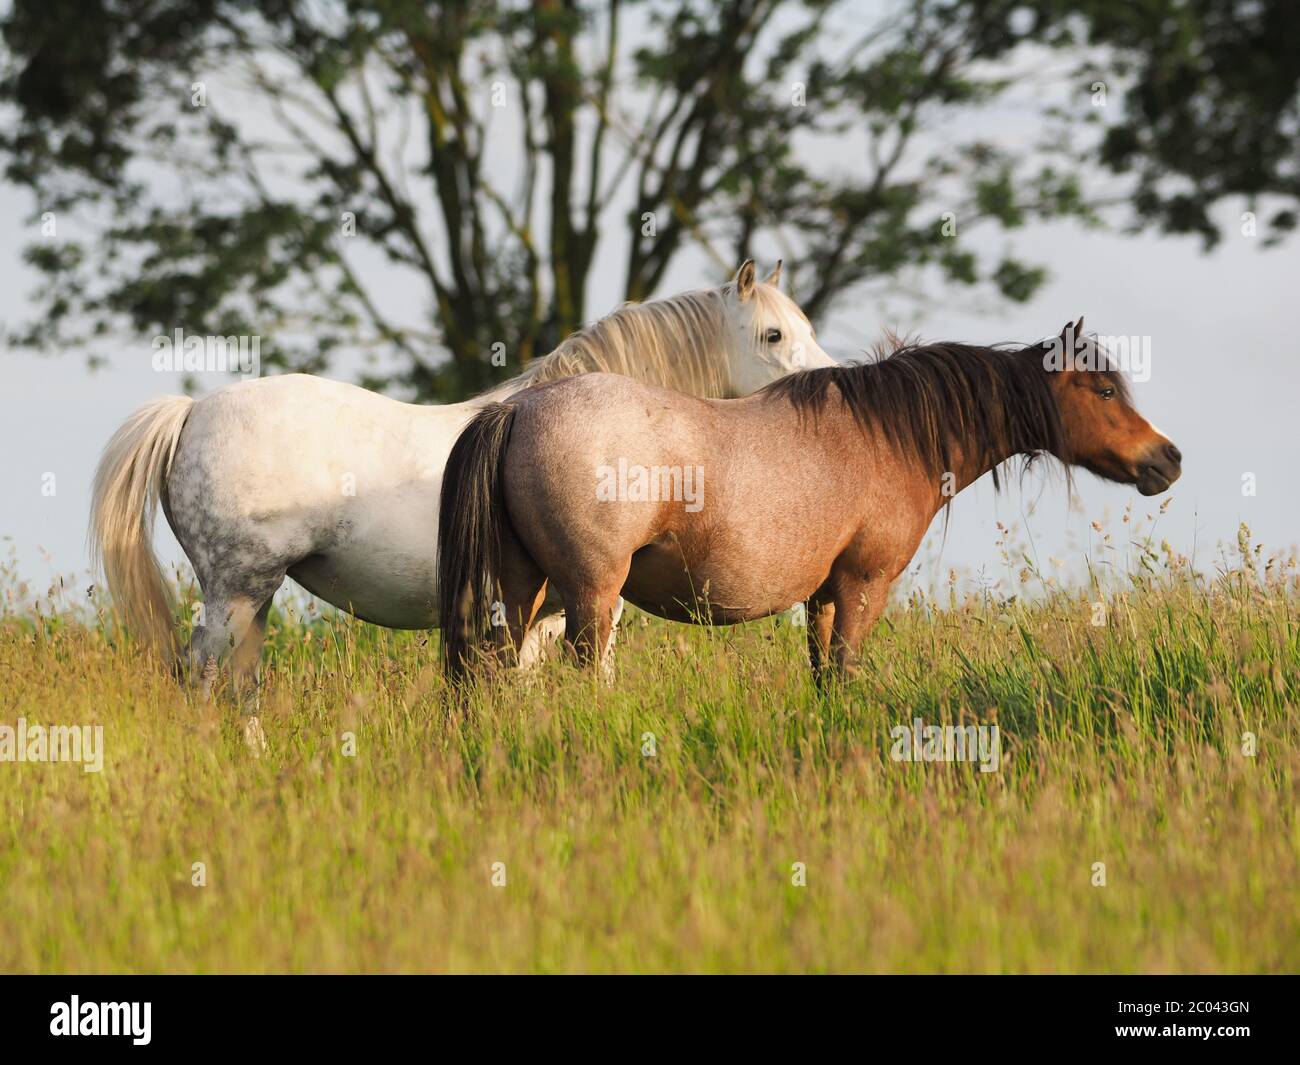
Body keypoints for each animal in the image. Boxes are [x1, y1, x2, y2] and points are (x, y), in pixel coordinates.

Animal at [90, 260, 834, 710]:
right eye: (773, 334)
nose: (826, 389)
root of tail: (191, 410)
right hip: (236, 590)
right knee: (206, 678)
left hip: (254, 598)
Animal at [436, 319, 1182, 684]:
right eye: (1104, 390)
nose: (1168, 459)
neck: (889, 433)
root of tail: (518, 409)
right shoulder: (862, 586)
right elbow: (847, 672)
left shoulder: (821, 596)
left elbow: (824, 677)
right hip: (590, 594)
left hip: (525, 588)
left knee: (491, 668)